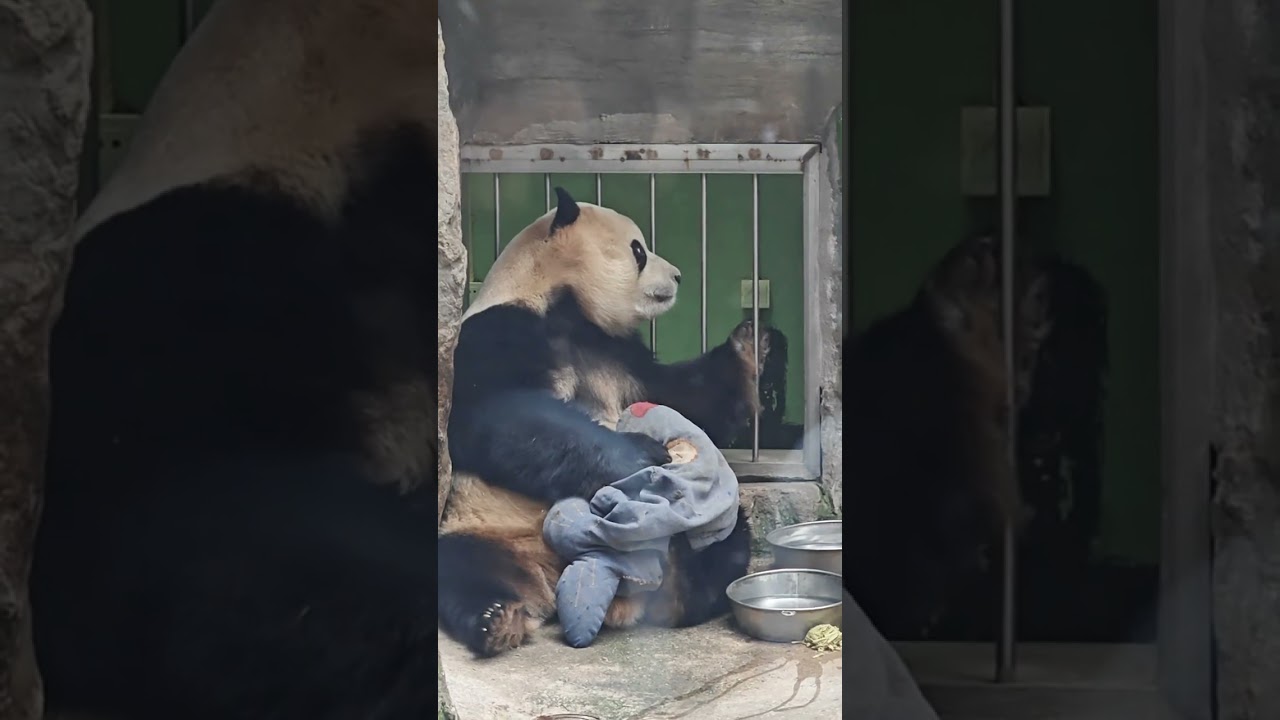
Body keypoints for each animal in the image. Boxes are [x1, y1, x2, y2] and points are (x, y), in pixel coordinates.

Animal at [437, 186, 765, 658]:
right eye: (638, 250)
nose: (678, 276)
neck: (566, 307)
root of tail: (552, 571)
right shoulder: (498, 332)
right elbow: (499, 413)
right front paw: (643, 456)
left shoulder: (618, 354)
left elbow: (682, 395)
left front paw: (750, 346)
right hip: (477, 522)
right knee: (458, 568)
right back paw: (496, 618)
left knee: (723, 538)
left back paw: (683, 590)